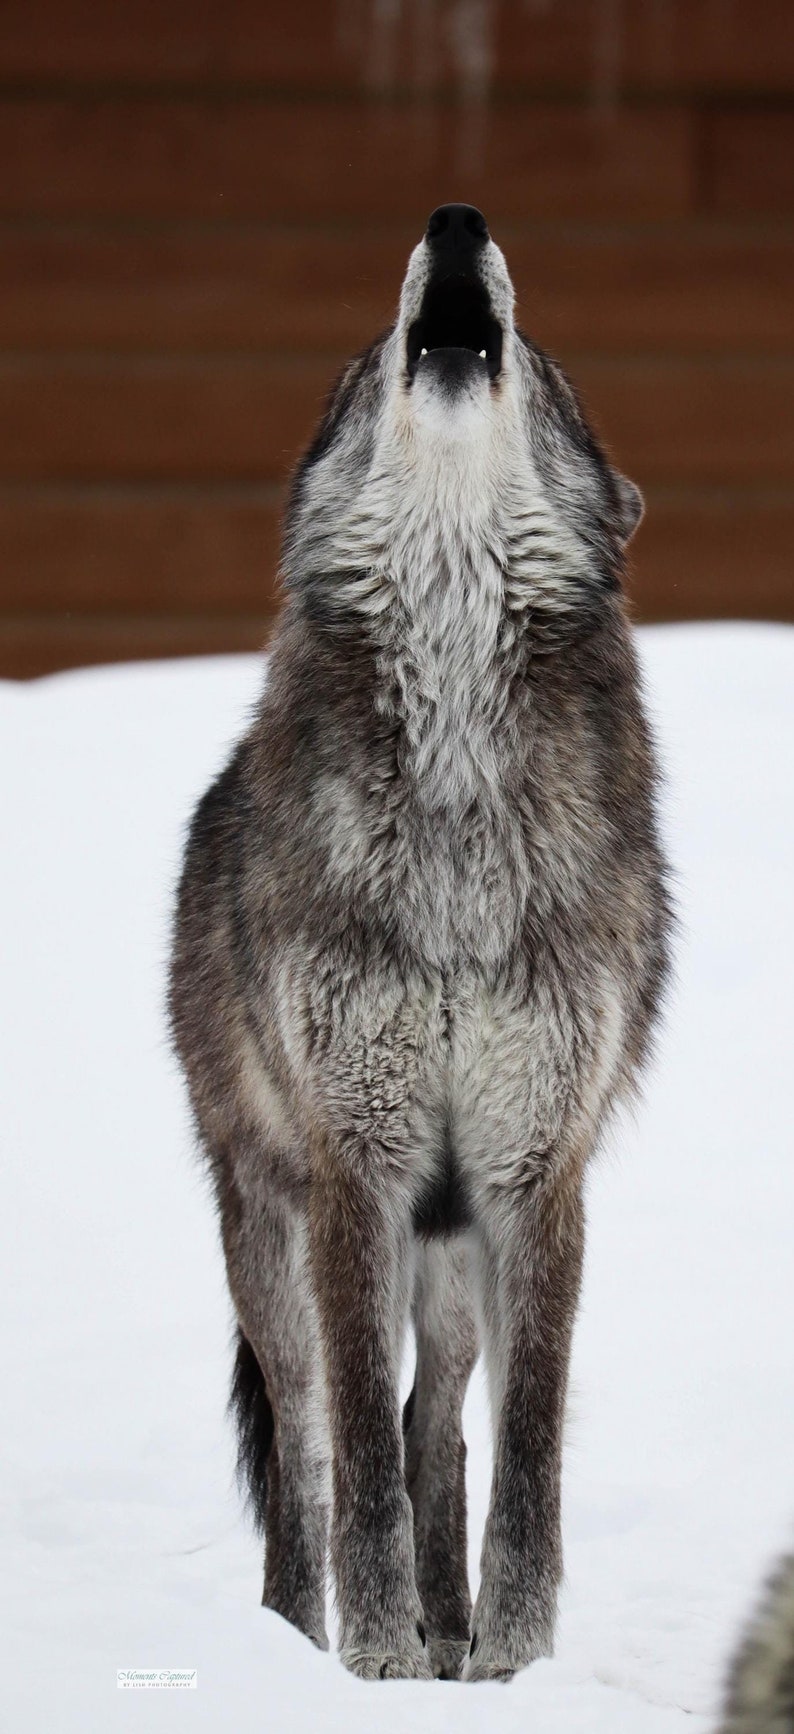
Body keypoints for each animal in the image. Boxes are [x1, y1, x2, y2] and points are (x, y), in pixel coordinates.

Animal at [169, 203, 671, 1682]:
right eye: (360, 359)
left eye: (545, 361)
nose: (454, 221)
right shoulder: (359, 1166)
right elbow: (356, 1460)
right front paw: (376, 1658)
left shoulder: (529, 1170)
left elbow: (525, 1449)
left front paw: (506, 1657)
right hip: (269, 1232)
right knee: (311, 1449)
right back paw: (293, 1632)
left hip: (448, 1255)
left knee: (435, 1415)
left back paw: (452, 1631)